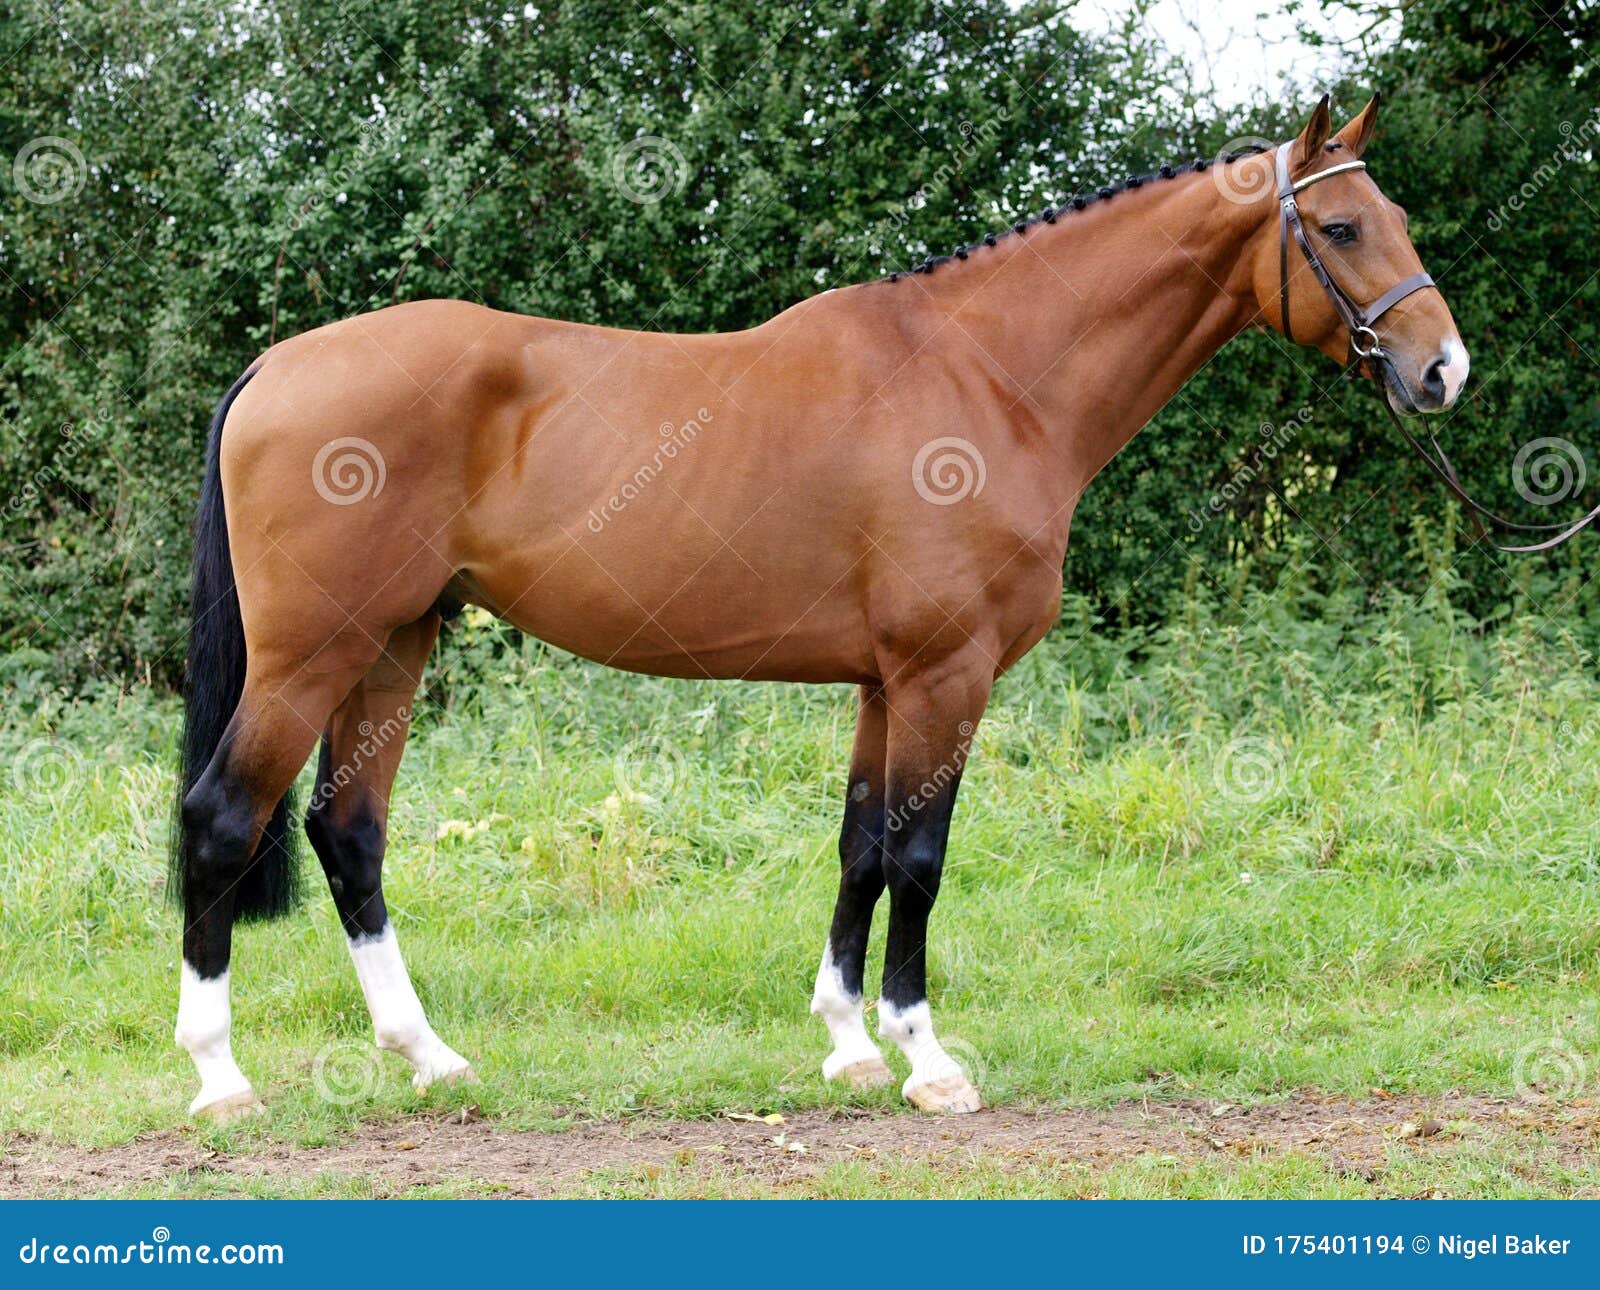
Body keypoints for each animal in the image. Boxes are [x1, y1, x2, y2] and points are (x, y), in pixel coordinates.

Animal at [172, 94, 1469, 1121]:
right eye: (1340, 227)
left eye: (1397, 220)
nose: (1442, 370)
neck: (989, 377)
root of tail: (278, 364)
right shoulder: (947, 674)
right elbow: (920, 858)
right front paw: (927, 1061)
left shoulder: (882, 684)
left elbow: (860, 848)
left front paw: (849, 1045)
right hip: (311, 656)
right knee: (223, 820)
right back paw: (222, 1078)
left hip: (393, 646)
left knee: (348, 832)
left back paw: (428, 1057)